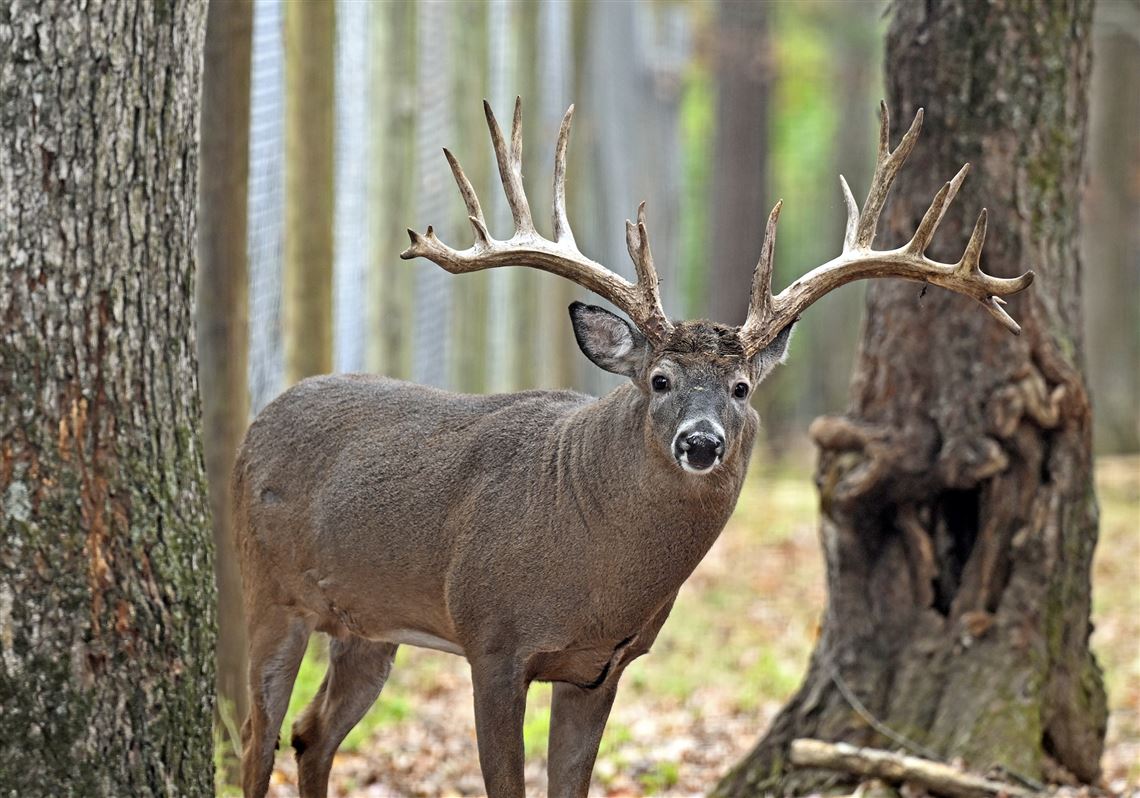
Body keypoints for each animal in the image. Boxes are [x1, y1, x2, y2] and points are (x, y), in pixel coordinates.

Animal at [233, 98, 1032, 798]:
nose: (701, 441)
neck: (597, 571)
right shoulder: (492, 640)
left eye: (742, 387)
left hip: (367, 624)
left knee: (311, 733)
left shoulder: (602, 669)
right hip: (268, 589)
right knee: (257, 738)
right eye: (659, 378)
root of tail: (256, 423)